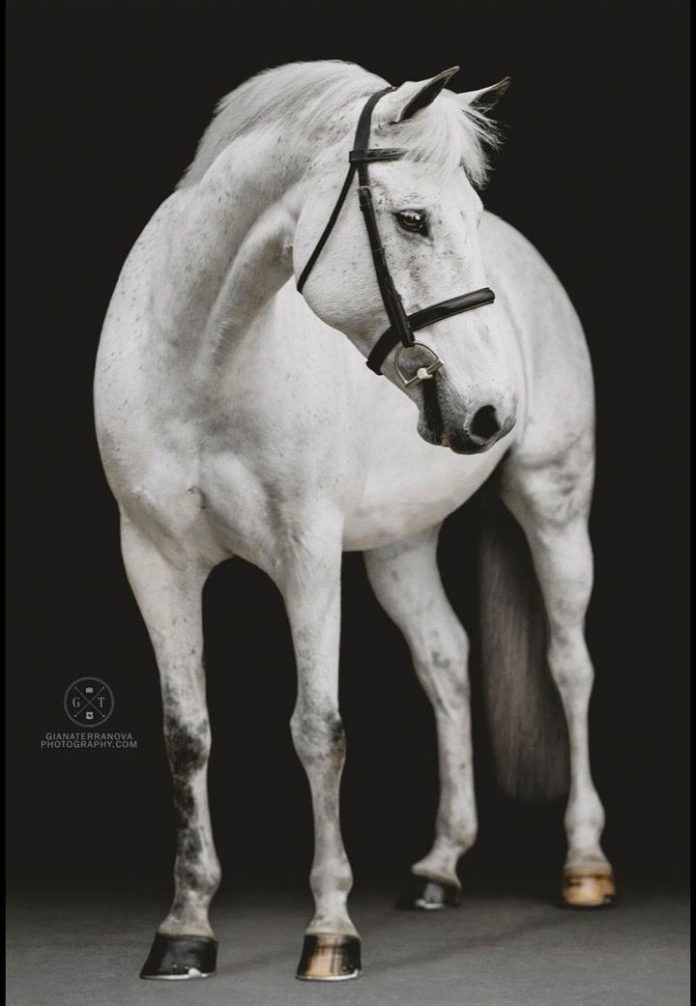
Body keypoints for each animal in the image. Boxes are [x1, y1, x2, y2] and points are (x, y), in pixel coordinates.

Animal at [94, 59, 615, 983]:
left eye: (463, 217)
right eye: (412, 219)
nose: (493, 410)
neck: (200, 366)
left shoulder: (306, 558)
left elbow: (318, 729)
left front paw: (330, 931)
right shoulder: (153, 560)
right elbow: (186, 735)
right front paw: (185, 930)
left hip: (554, 503)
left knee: (570, 665)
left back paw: (584, 865)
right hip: (401, 546)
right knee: (446, 661)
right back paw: (439, 869)